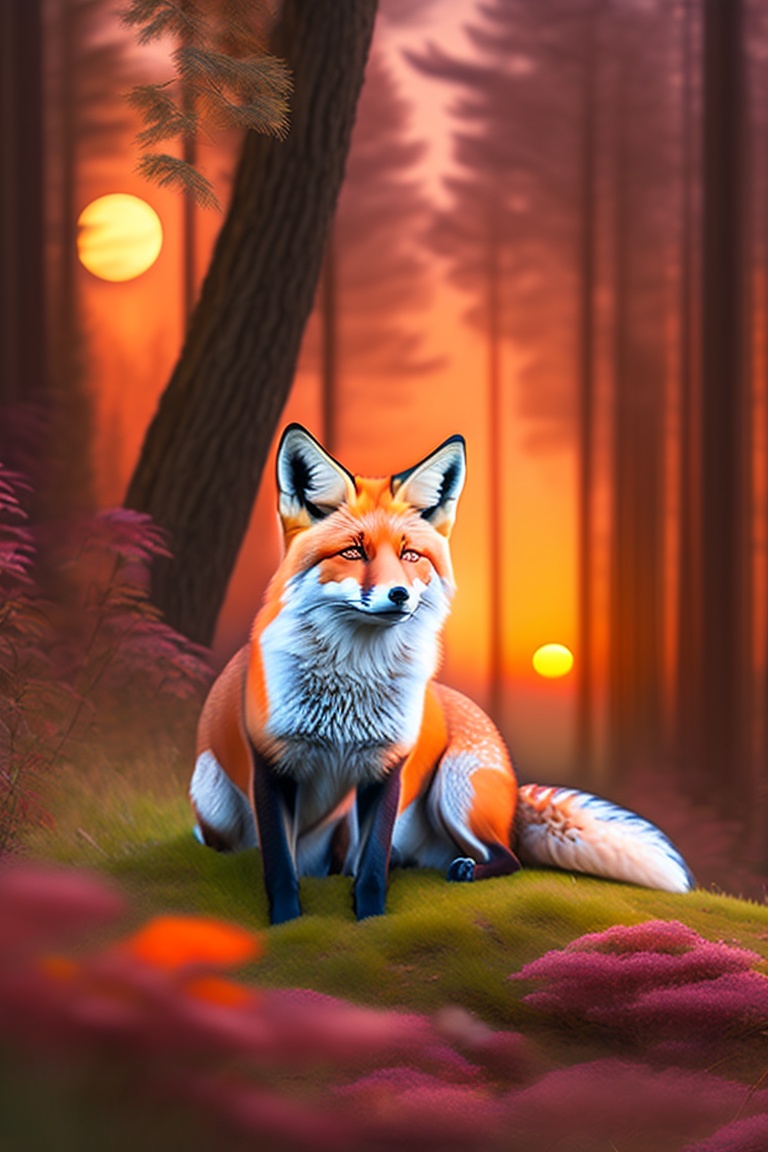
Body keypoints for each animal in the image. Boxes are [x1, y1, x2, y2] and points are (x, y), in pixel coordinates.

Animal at [190, 424, 694, 924]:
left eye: (411, 555)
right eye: (353, 552)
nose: (399, 595)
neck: (350, 692)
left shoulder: (387, 768)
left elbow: (371, 865)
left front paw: (370, 919)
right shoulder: (271, 765)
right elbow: (280, 864)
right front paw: (286, 921)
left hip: (456, 789)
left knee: (508, 856)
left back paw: (465, 867)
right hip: (212, 797)